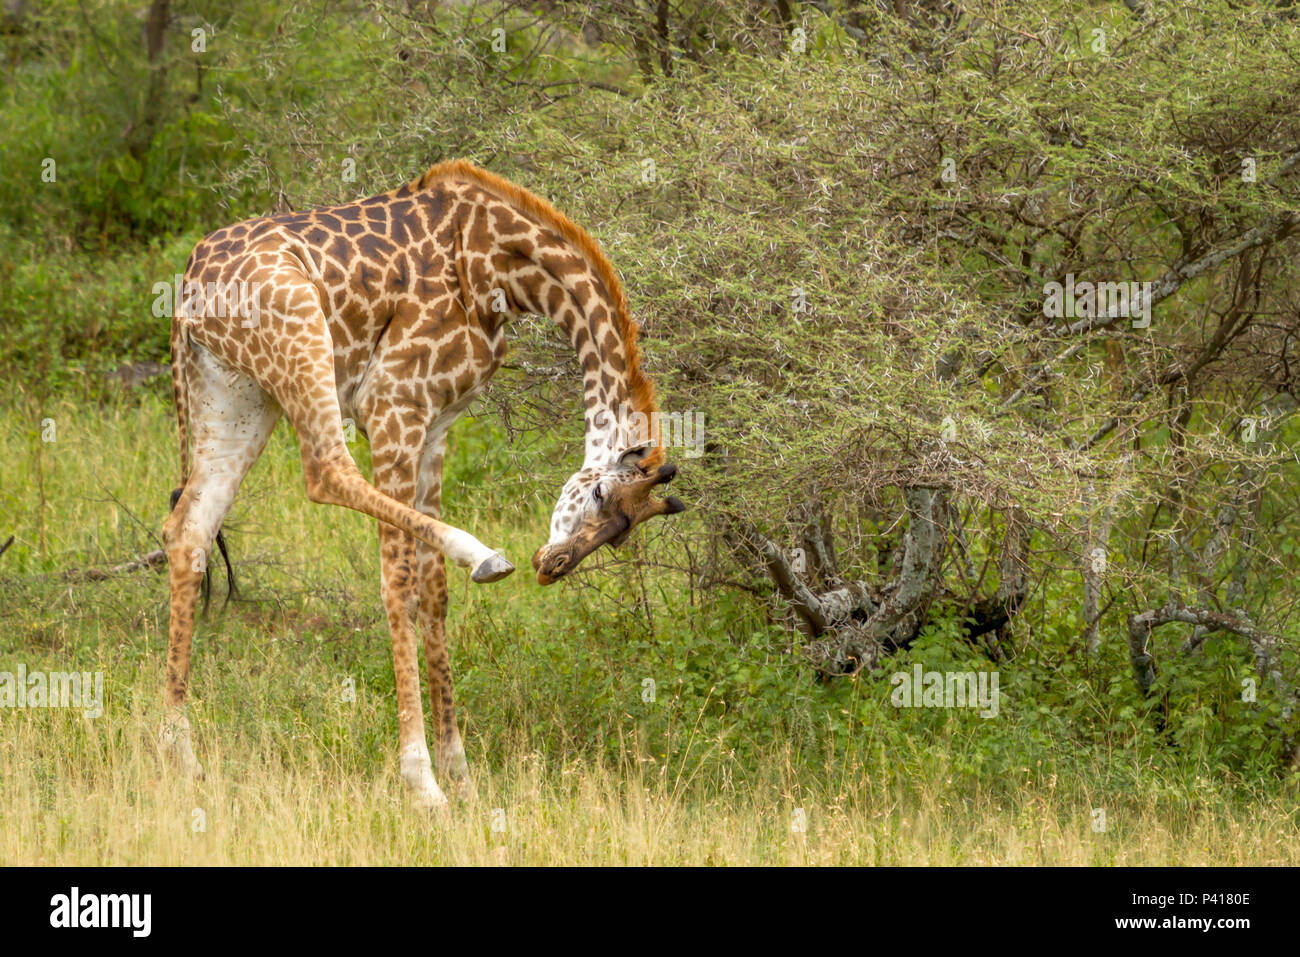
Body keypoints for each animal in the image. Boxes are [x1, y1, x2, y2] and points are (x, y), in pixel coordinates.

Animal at [159, 160, 685, 810]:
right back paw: (478, 551)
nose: (553, 565)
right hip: (300, 337)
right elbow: (399, 584)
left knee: (189, 530)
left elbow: (434, 593)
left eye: (621, 536)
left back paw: (180, 756)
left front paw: (462, 776)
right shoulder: (395, 402)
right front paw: (423, 781)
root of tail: (187, 287)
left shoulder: (437, 427)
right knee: (326, 471)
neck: (501, 266)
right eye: (598, 495)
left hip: (234, 393)